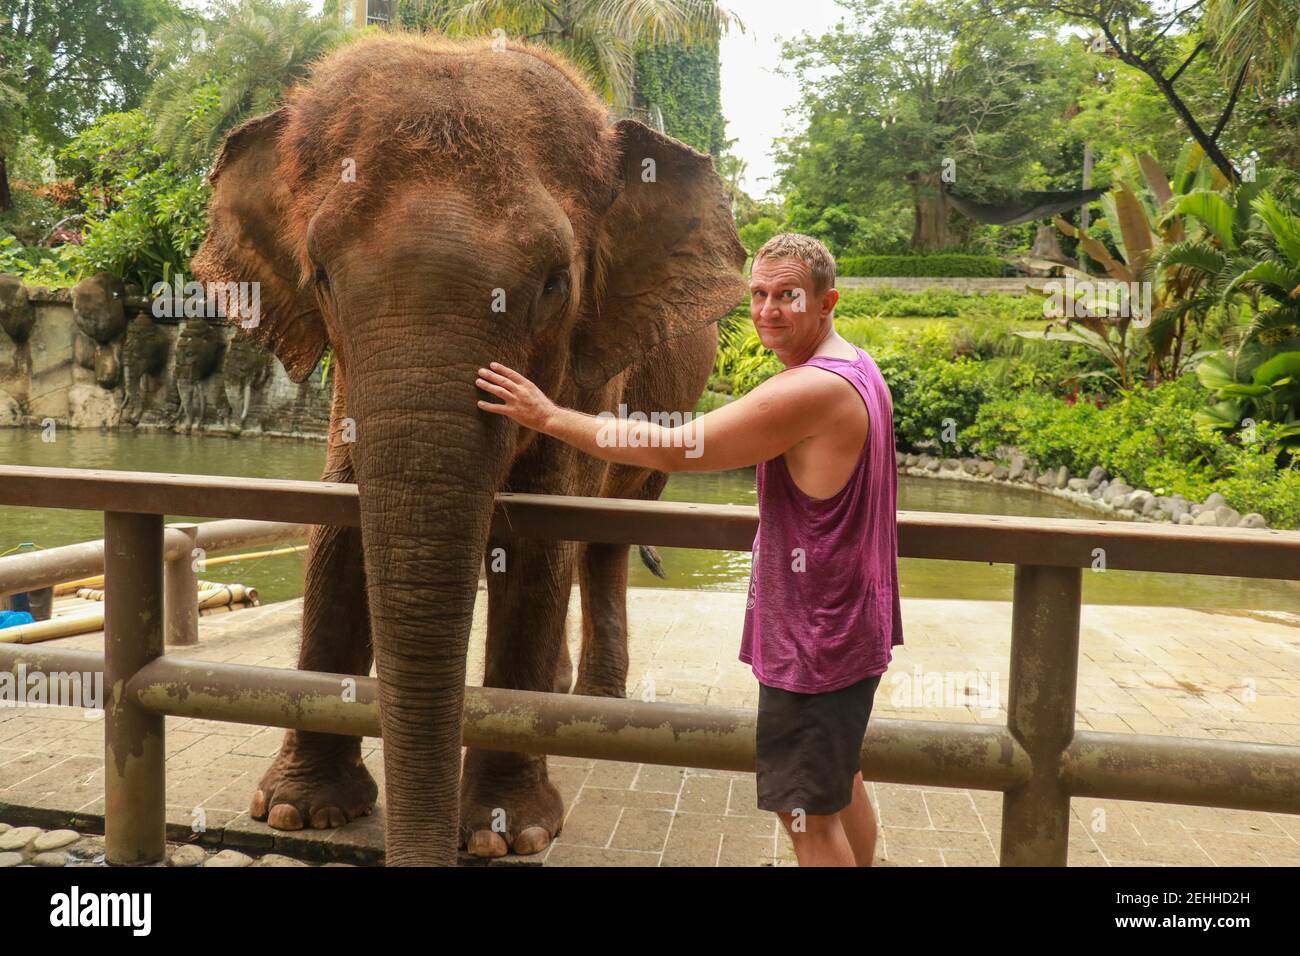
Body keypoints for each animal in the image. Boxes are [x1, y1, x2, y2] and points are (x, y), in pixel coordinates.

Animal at [190, 32, 747, 866]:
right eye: (319, 275)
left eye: (555, 284)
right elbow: (341, 520)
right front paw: (298, 813)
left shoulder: (587, 369)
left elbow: (542, 532)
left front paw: (505, 835)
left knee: (605, 536)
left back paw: (593, 703)